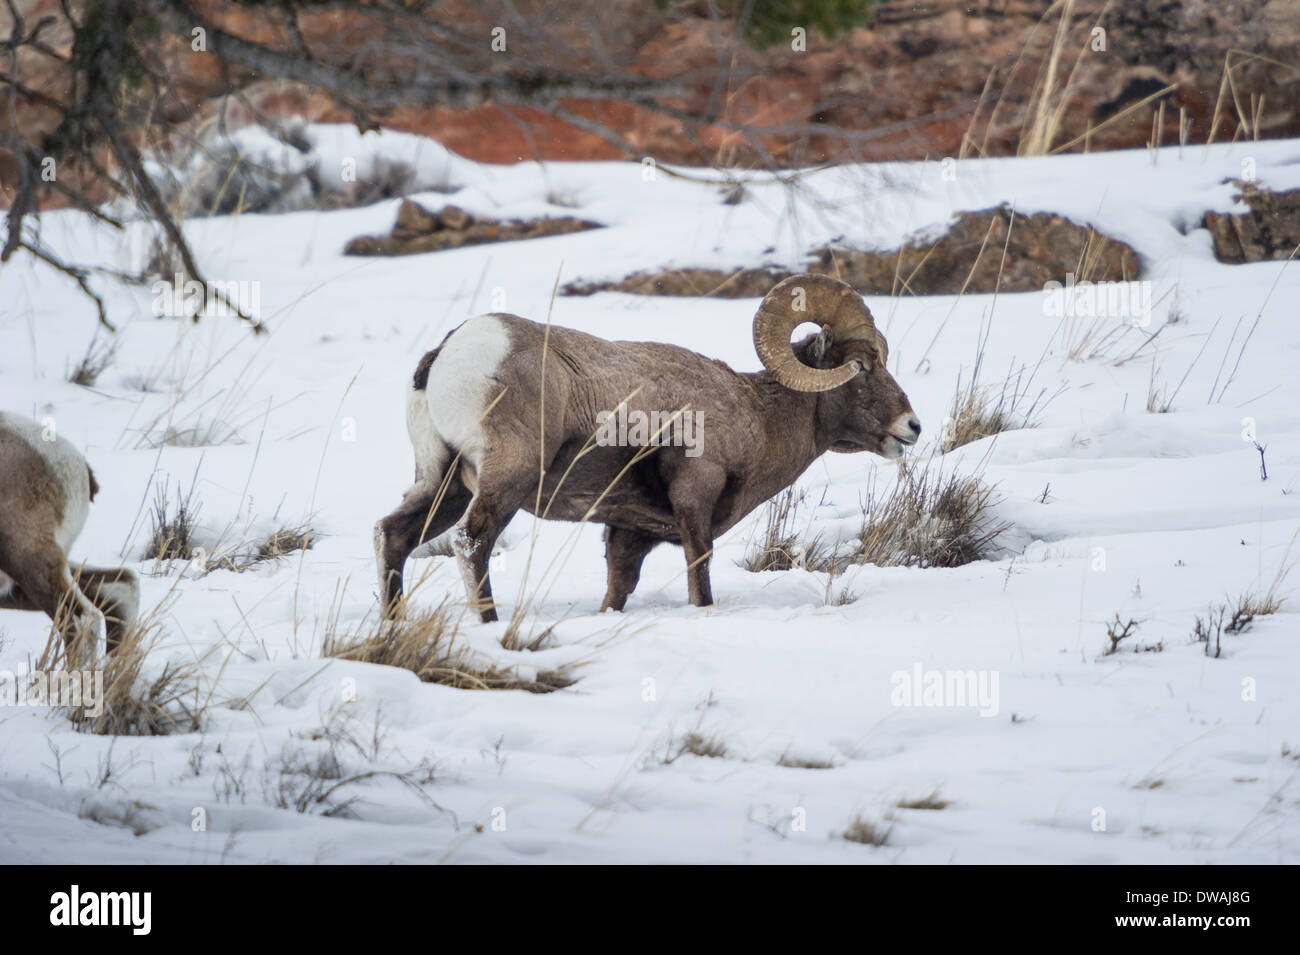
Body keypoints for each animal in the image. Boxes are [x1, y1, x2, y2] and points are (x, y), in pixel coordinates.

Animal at [376, 273, 920, 622]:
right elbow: (700, 583)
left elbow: (617, 590)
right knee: (472, 543)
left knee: (394, 536)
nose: (911, 427)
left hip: (444, 483)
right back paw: (488, 627)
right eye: (862, 365)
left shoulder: (628, 533)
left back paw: (393, 626)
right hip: (505, 481)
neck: (757, 415)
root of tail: (446, 355)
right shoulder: (694, 503)